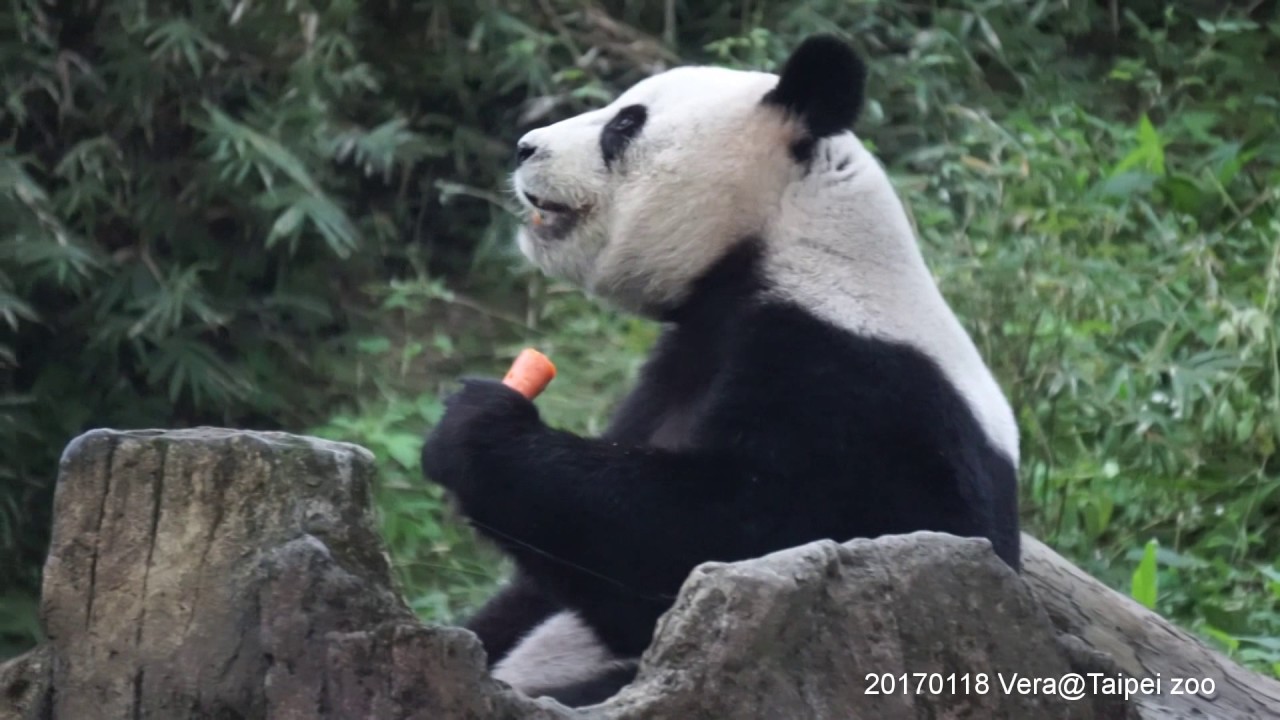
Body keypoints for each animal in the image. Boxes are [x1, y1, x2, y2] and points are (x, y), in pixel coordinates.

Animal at [420, 34, 1021, 708]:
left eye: (626, 125)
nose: (525, 147)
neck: (780, 246)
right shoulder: (681, 363)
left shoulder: (868, 399)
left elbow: (731, 538)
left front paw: (474, 426)